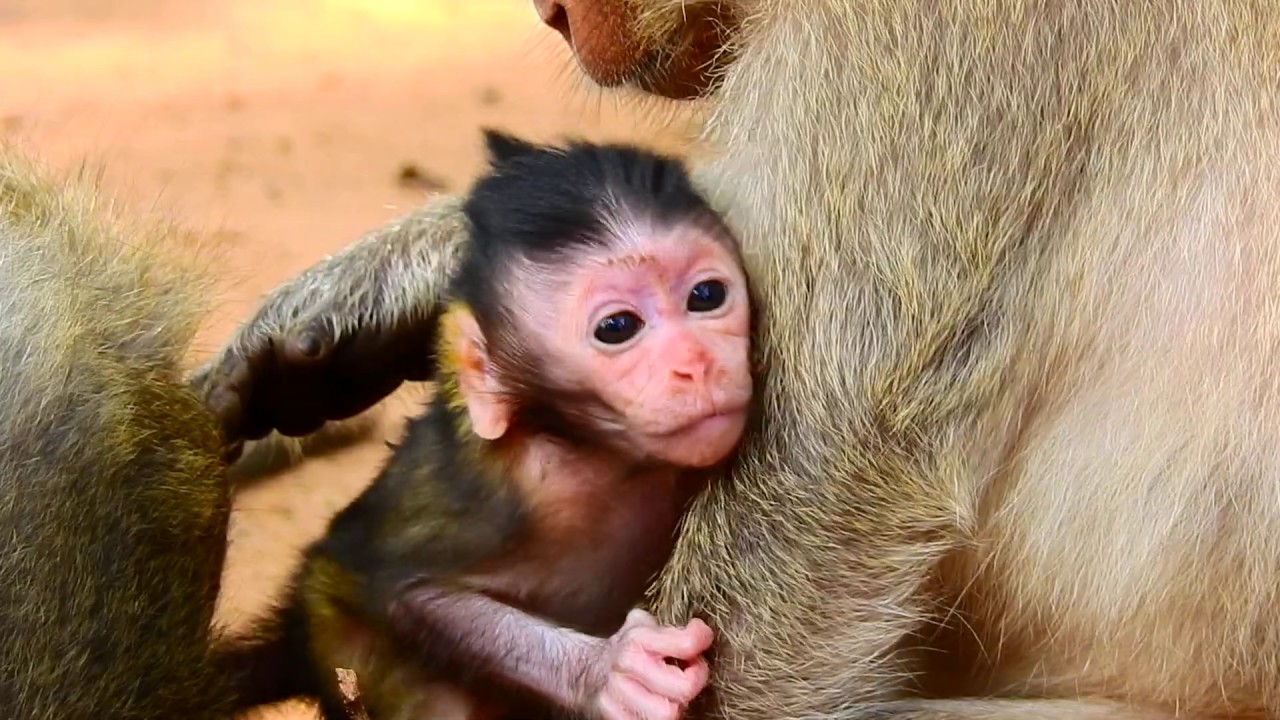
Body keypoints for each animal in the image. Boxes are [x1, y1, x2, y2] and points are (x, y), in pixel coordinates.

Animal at [227, 129, 753, 720]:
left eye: (706, 296)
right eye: (617, 327)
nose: (696, 364)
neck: (602, 454)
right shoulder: (513, 492)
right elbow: (414, 593)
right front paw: (610, 674)